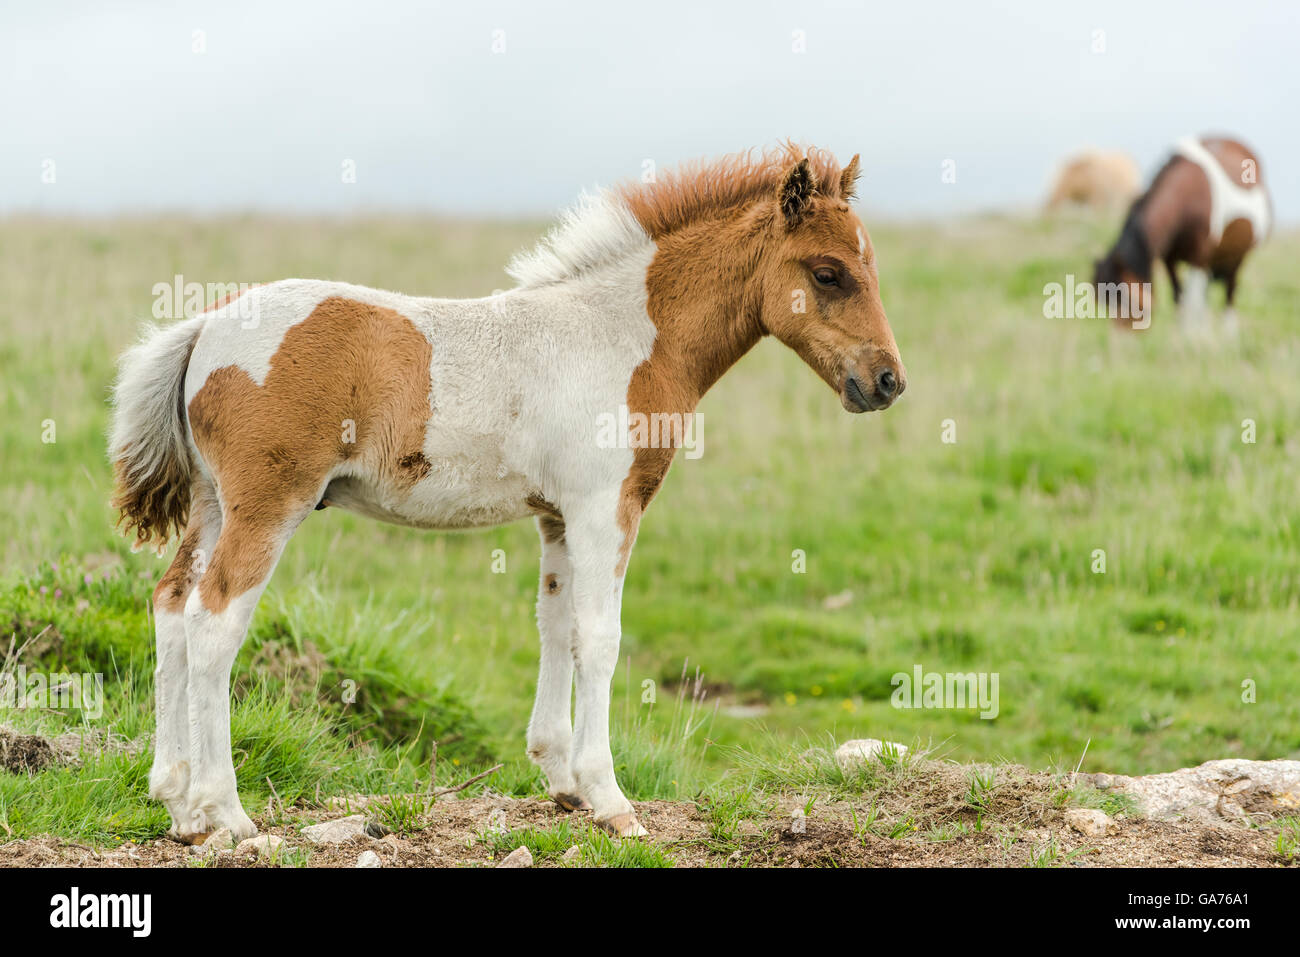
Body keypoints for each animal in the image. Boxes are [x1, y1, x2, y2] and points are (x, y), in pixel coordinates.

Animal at [108, 144, 907, 841]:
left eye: (868, 266)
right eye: (829, 272)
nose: (887, 381)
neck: (623, 339)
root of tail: (205, 325)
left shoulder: (556, 518)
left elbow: (556, 627)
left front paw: (562, 783)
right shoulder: (605, 509)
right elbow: (601, 637)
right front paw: (611, 800)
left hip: (213, 506)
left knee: (171, 606)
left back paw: (178, 806)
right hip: (269, 506)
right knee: (213, 620)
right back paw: (227, 812)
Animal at [1093, 135, 1271, 334]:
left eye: (1126, 299)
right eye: (1104, 303)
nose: (1119, 338)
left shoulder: (1199, 258)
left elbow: (1193, 300)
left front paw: (1192, 335)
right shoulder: (1169, 259)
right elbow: (1179, 296)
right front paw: (1183, 334)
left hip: (1237, 256)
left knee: (1229, 292)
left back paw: (1228, 333)